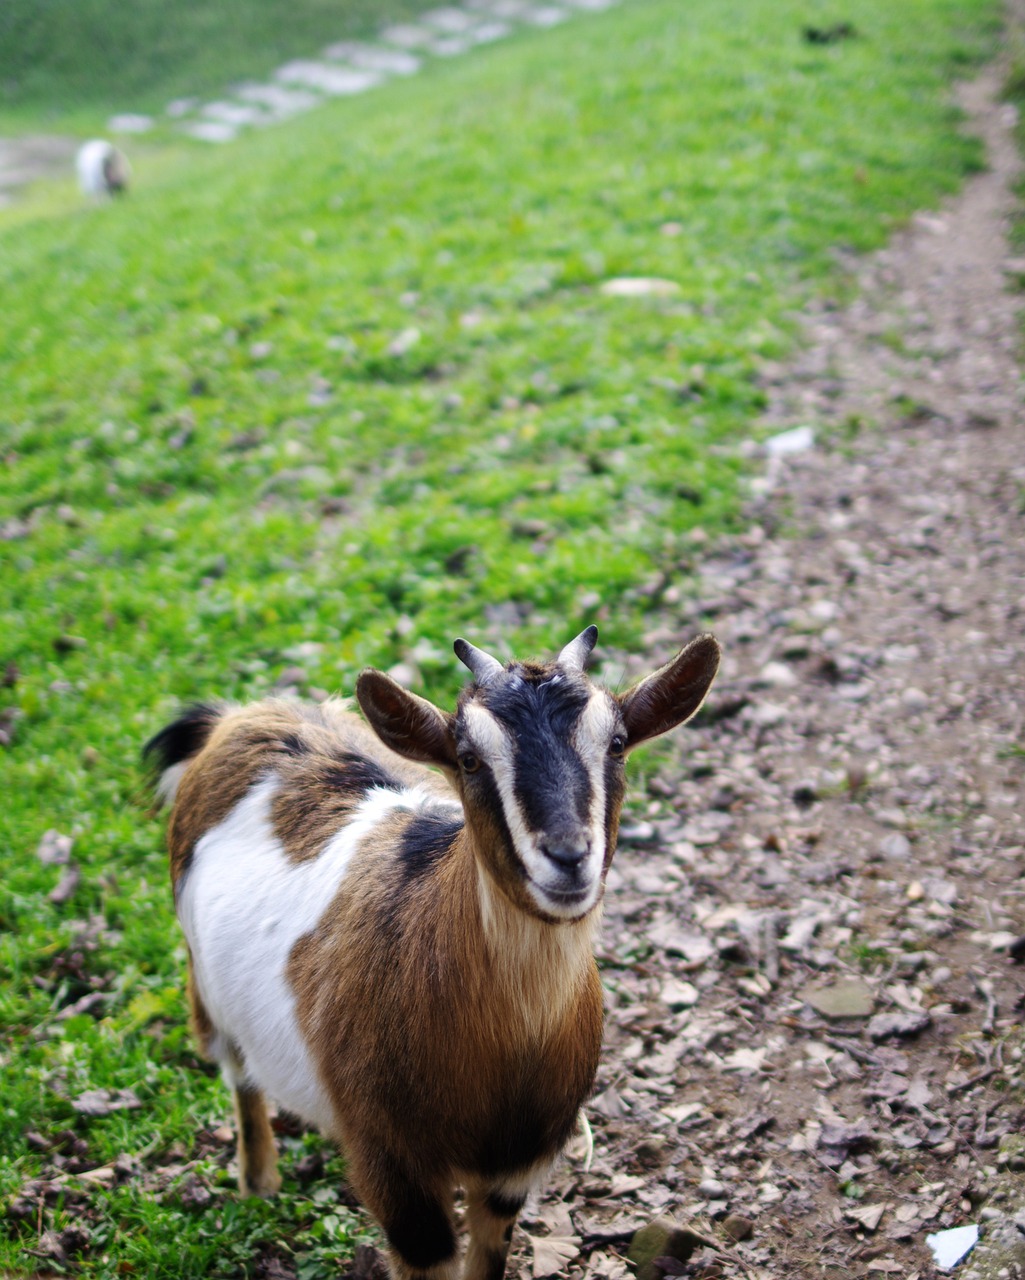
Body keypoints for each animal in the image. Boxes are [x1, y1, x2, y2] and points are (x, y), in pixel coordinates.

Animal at [145, 626, 720, 1280]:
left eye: (618, 744)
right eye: (468, 758)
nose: (569, 855)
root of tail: (241, 716)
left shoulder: (514, 1168)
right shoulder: (395, 1166)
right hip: (204, 986)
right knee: (238, 1072)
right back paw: (258, 1183)